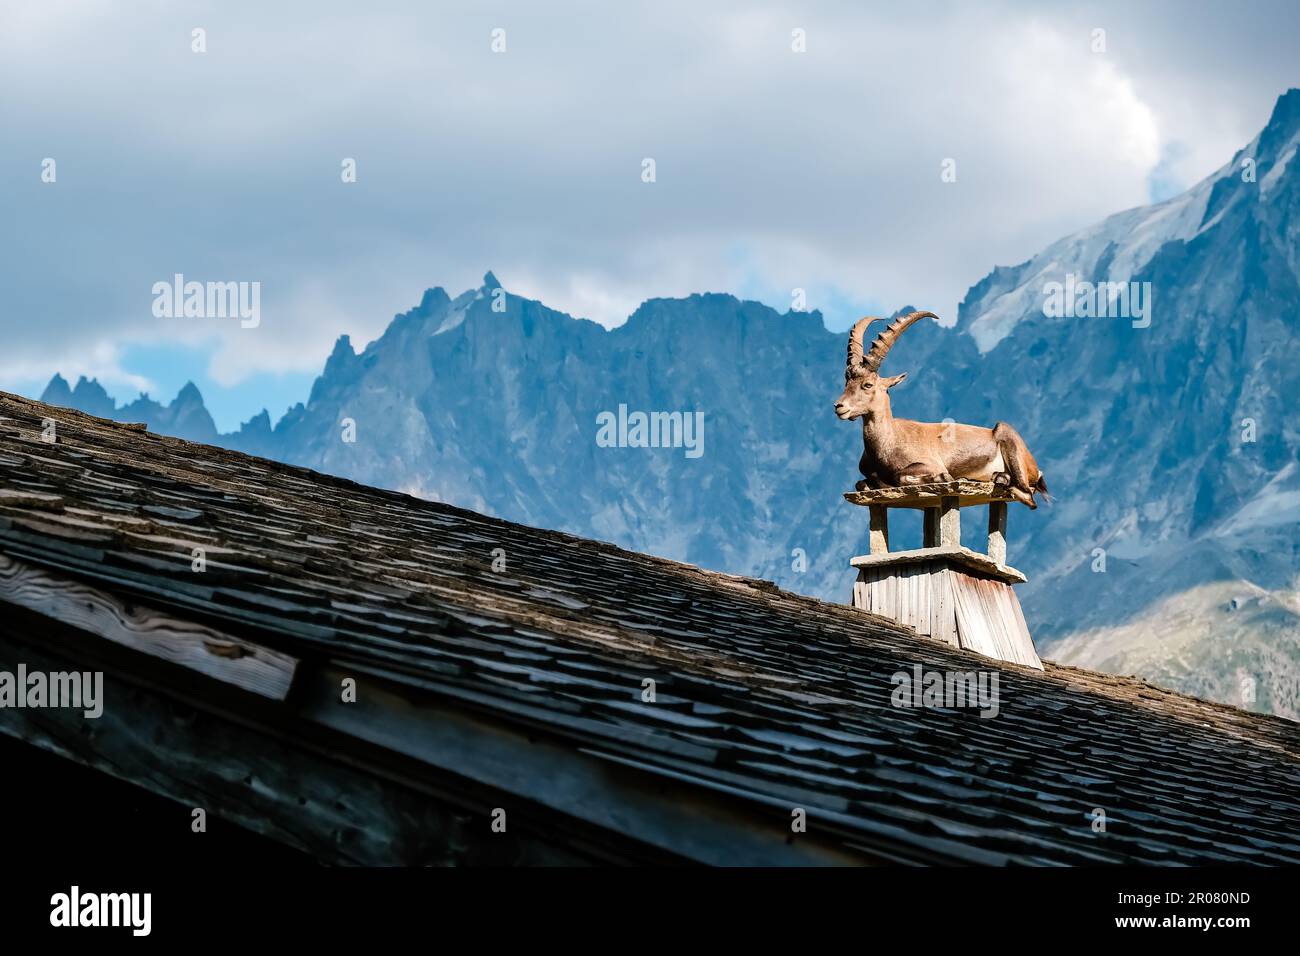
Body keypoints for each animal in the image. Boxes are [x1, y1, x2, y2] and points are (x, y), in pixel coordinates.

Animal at [834, 311, 1048, 508]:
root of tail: (1037, 470)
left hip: (1007, 435)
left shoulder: (931, 463)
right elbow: (861, 484)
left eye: (867, 384)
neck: (887, 442)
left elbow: (901, 476)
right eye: (847, 382)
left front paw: (943, 477)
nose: (839, 406)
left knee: (1028, 496)